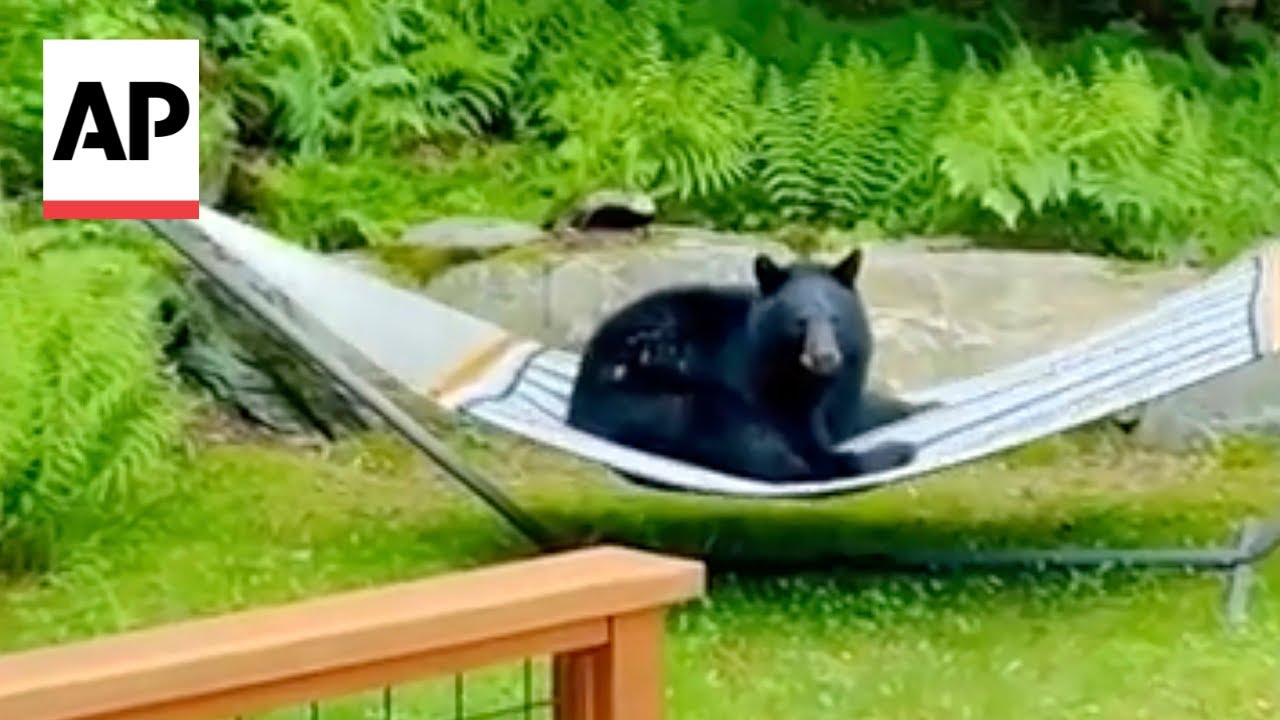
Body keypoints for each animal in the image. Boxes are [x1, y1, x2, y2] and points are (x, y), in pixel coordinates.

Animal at [564, 247, 936, 484]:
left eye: (836, 320)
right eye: (800, 322)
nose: (825, 357)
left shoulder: (844, 384)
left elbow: (858, 411)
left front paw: (925, 406)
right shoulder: (760, 379)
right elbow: (800, 435)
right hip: (663, 397)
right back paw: (895, 451)